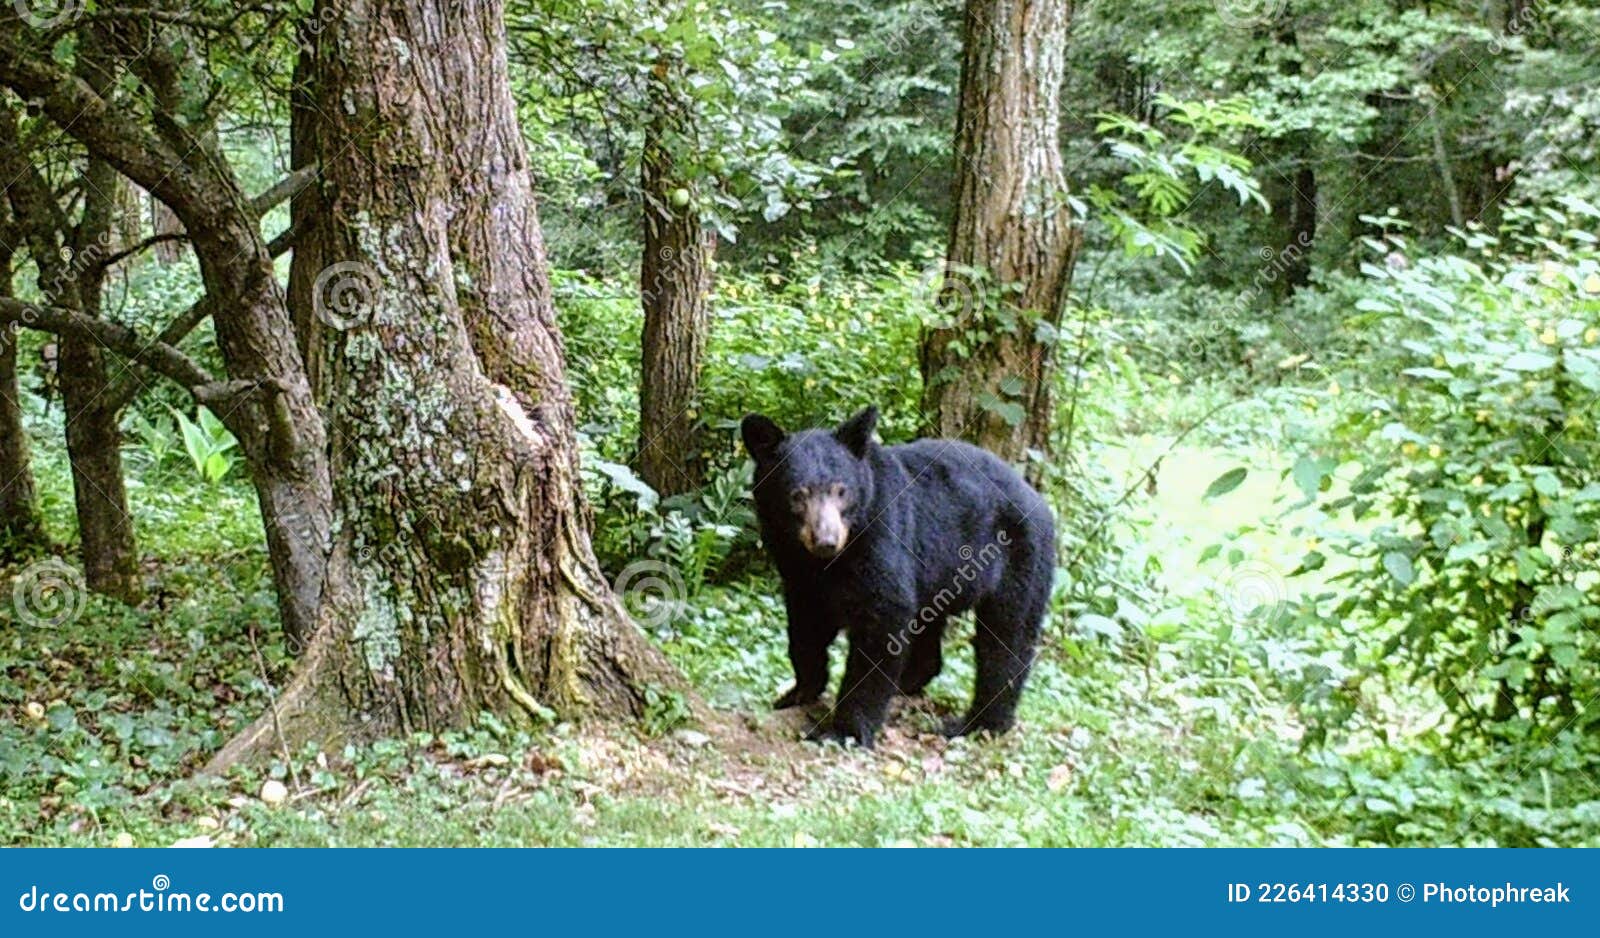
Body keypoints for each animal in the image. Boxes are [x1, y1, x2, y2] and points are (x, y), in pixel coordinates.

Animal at [741, 406, 1056, 748]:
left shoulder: (882, 536)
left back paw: (978, 723)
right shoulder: (795, 568)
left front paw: (844, 730)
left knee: (1007, 637)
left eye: (841, 491)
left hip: (1020, 557)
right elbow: (806, 627)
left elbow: (884, 616)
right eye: (797, 495)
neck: (826, 561)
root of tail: (1038, 499)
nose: (826, 540)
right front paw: (798, 692)